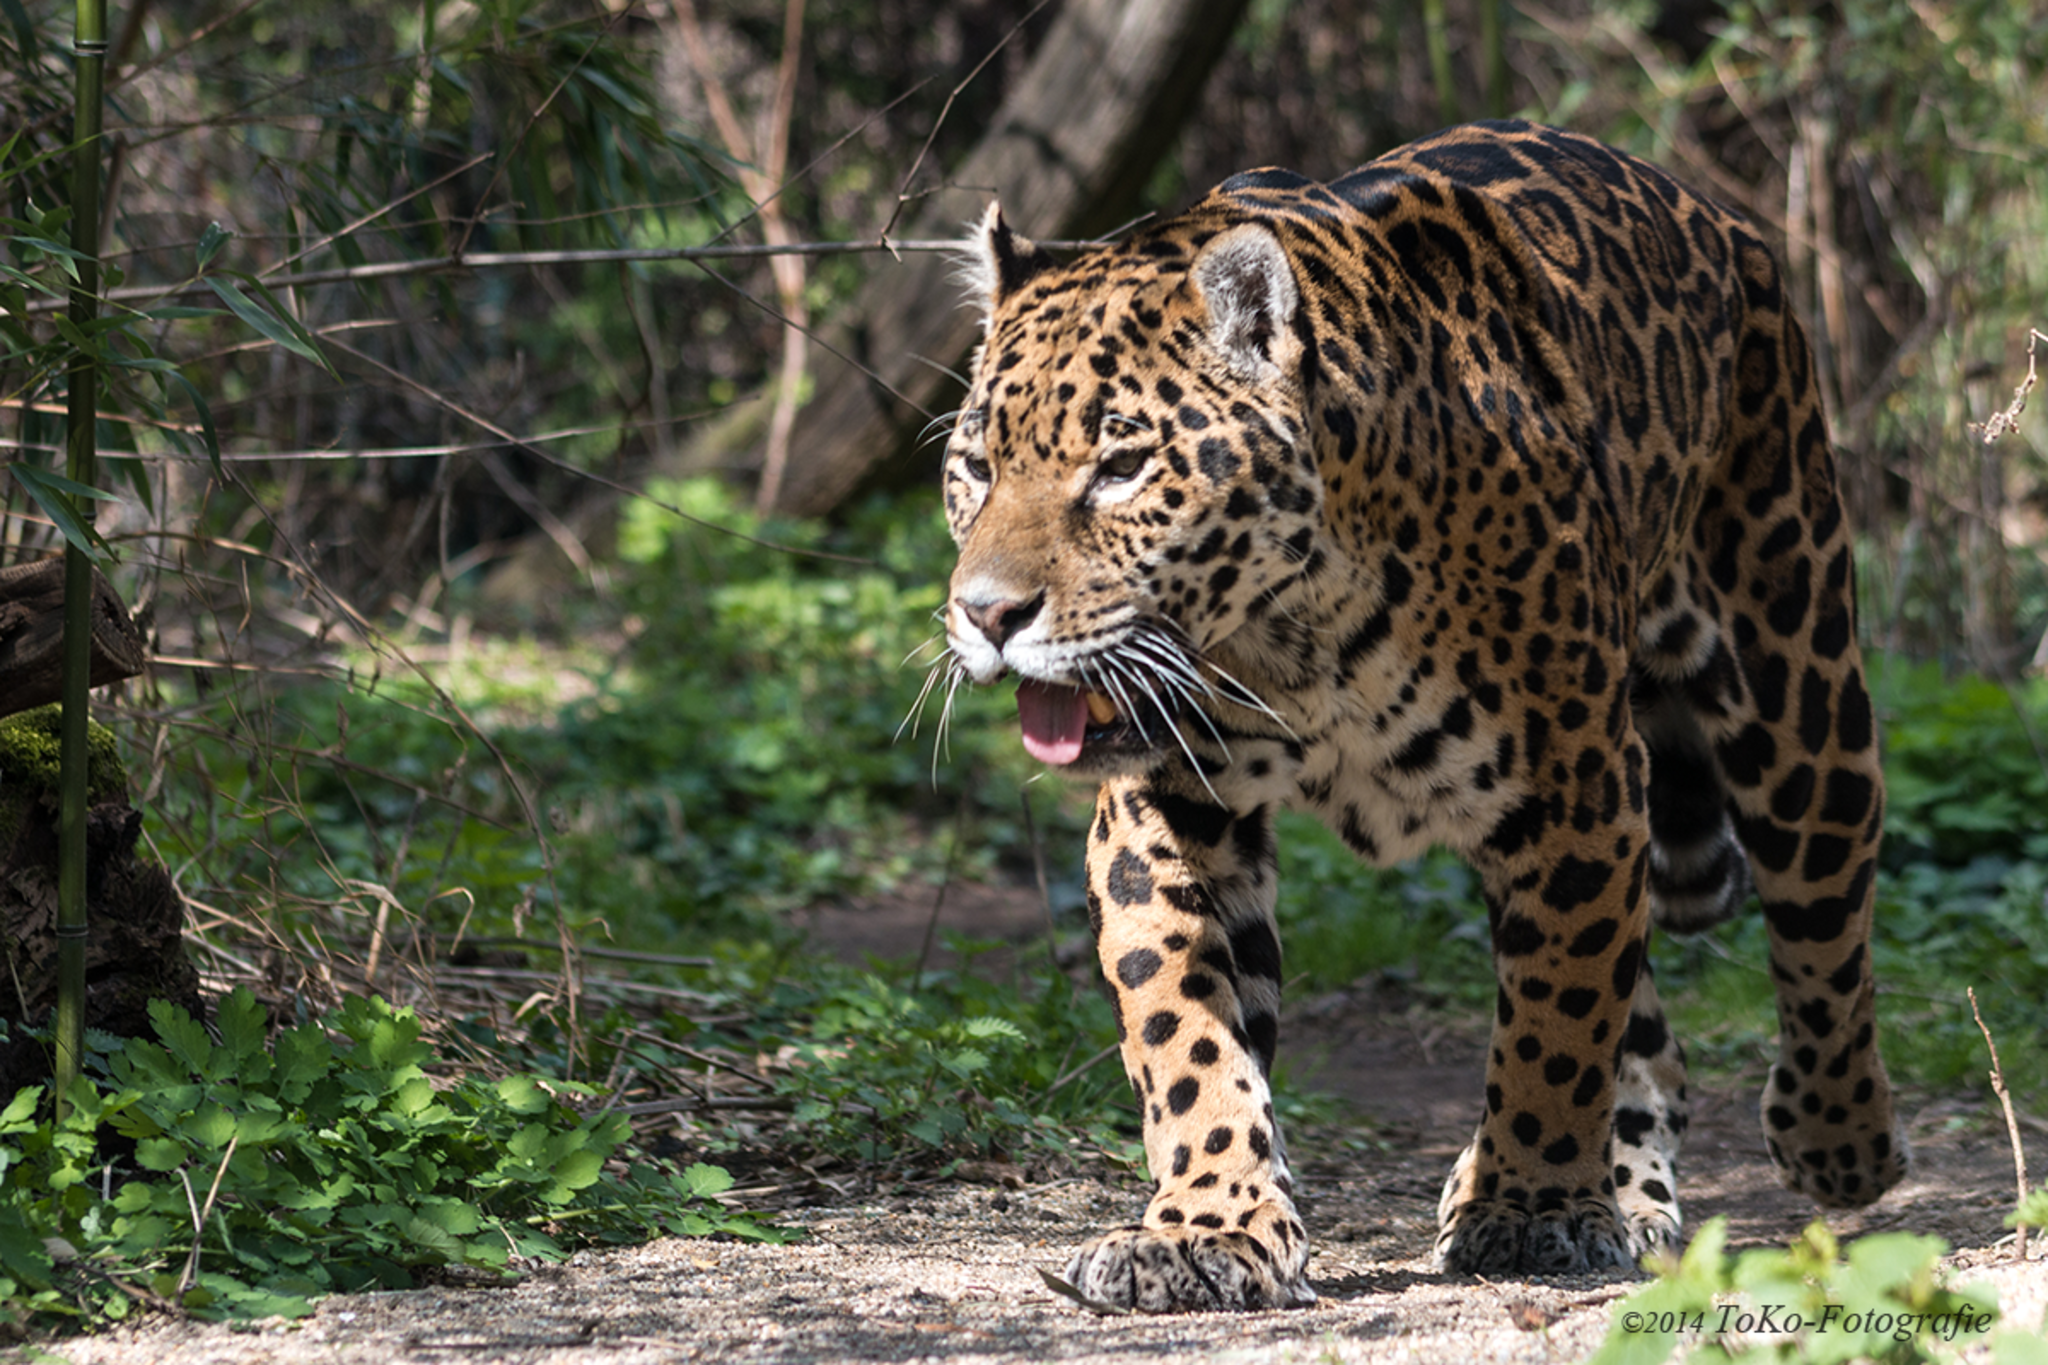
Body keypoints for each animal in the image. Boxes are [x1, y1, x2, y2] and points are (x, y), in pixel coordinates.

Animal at [935, 120, 1908, 1311]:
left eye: (1120, 466)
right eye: (975, 466)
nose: (986, 614)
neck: (1293, 636)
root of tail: (1712, 215)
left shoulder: (1575, 790)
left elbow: (1554, 1025)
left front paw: (1527, 1210)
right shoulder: (1166, 815)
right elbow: (1188, 1038)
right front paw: (1208, 1230)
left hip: (1794, 673)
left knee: (1821, 915)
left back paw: (1837, 1141)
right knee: (1655, 1035)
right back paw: (1628, 1194)